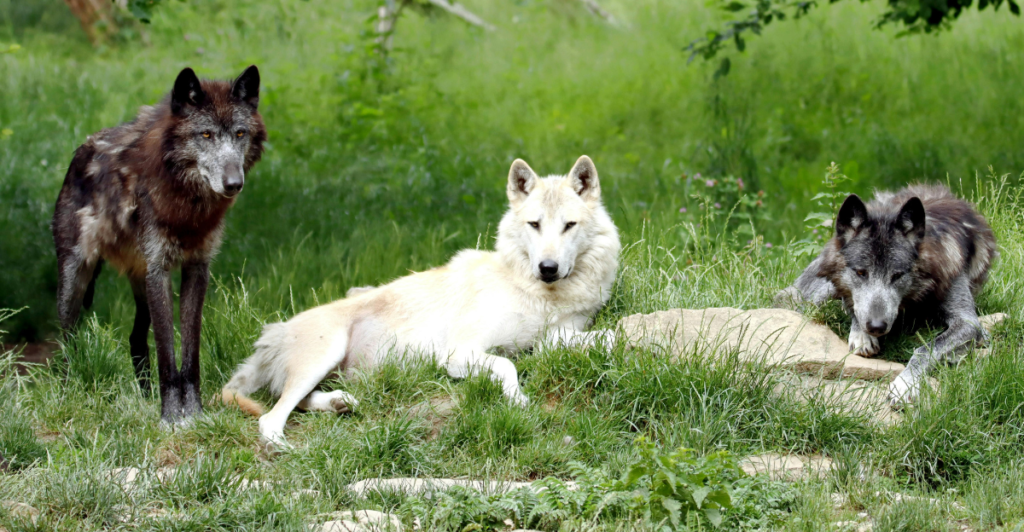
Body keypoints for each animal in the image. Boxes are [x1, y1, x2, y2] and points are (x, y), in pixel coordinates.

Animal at [52, 66, 266, 424]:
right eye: (205, 135)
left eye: (239, 133)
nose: (233, 183)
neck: (187, 206)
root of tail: (79, 152)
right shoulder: (159, 270)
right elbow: (167, 354)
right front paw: (169, 418)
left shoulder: (196, 268)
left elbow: (189, 354)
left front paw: (193, 414)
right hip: (75, 278)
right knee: (65, 339)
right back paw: (67, 393)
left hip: (139, 284)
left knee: (136, 339)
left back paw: (144, 399)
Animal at [222, 156, 621, 445]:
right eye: (534, 225)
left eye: (568, 225)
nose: (548, 268)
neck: (539, 293)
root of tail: (273, 334)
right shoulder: (459, 353)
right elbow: (507, 365)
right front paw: (518, 400)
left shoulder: (557, 338)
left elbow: (603, 337)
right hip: (324, 354)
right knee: (271, 418)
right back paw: (284, 447)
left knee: (297, 402)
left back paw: (339, 403)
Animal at [775, 184, 997, 407]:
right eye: (861, 272)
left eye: (897, 275)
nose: (876, 327)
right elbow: (855, 307)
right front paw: (862, 335)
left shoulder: (968, 321)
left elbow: (926, 348)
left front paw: (905, 383)